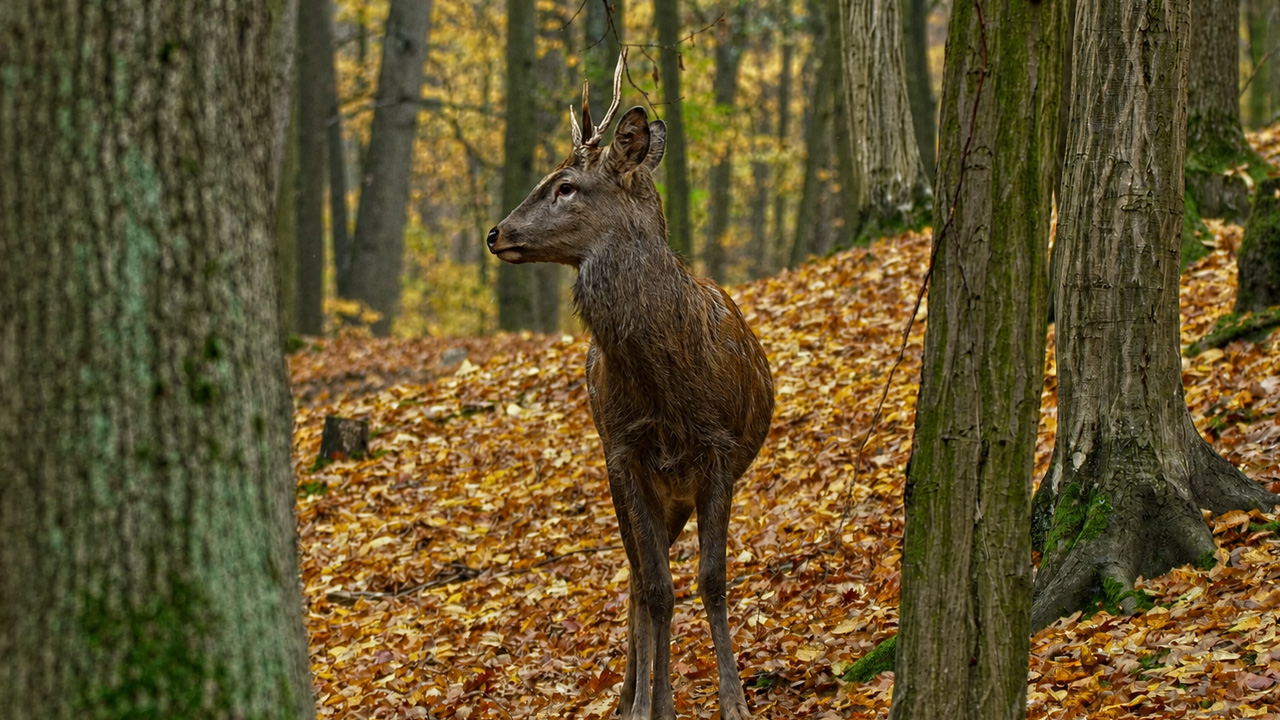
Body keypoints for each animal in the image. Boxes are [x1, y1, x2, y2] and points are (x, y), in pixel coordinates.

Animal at [486, 51, 774, 720]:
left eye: (566, 185)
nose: (495, 233)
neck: (667, 382)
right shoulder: (625, 451)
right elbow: (658, 588)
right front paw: (652, 704)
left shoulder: (718, 452)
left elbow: (710, 579)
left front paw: (733, 701)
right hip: (629, 475)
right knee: (638, 579)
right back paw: (627, 697)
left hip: (676, 492)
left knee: (645, 575)